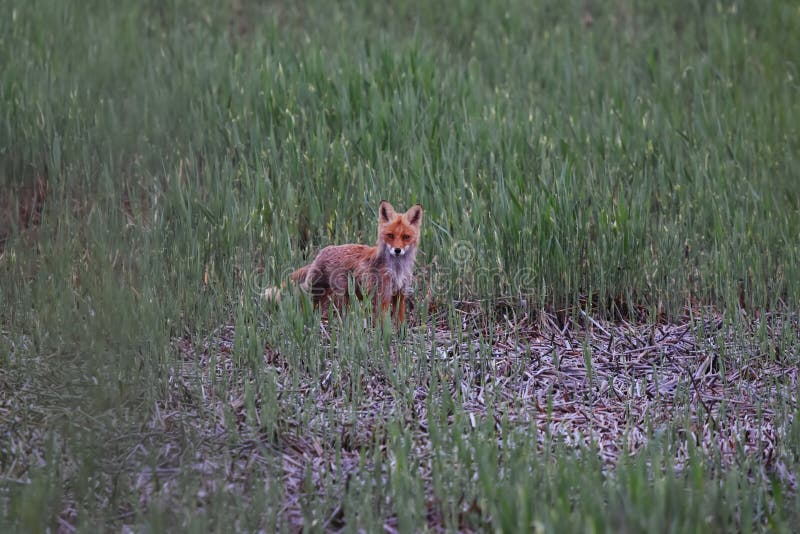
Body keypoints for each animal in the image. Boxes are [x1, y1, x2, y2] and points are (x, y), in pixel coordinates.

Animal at [290, 200, 423, 325]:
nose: (397, 250)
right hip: (317, 291)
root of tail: (323, 250)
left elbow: (400, 322)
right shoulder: (382, 296)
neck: (397, 268)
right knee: (304, 298)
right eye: (390, 235)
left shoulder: (400, 294)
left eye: (406, 237)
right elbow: (384, 323)